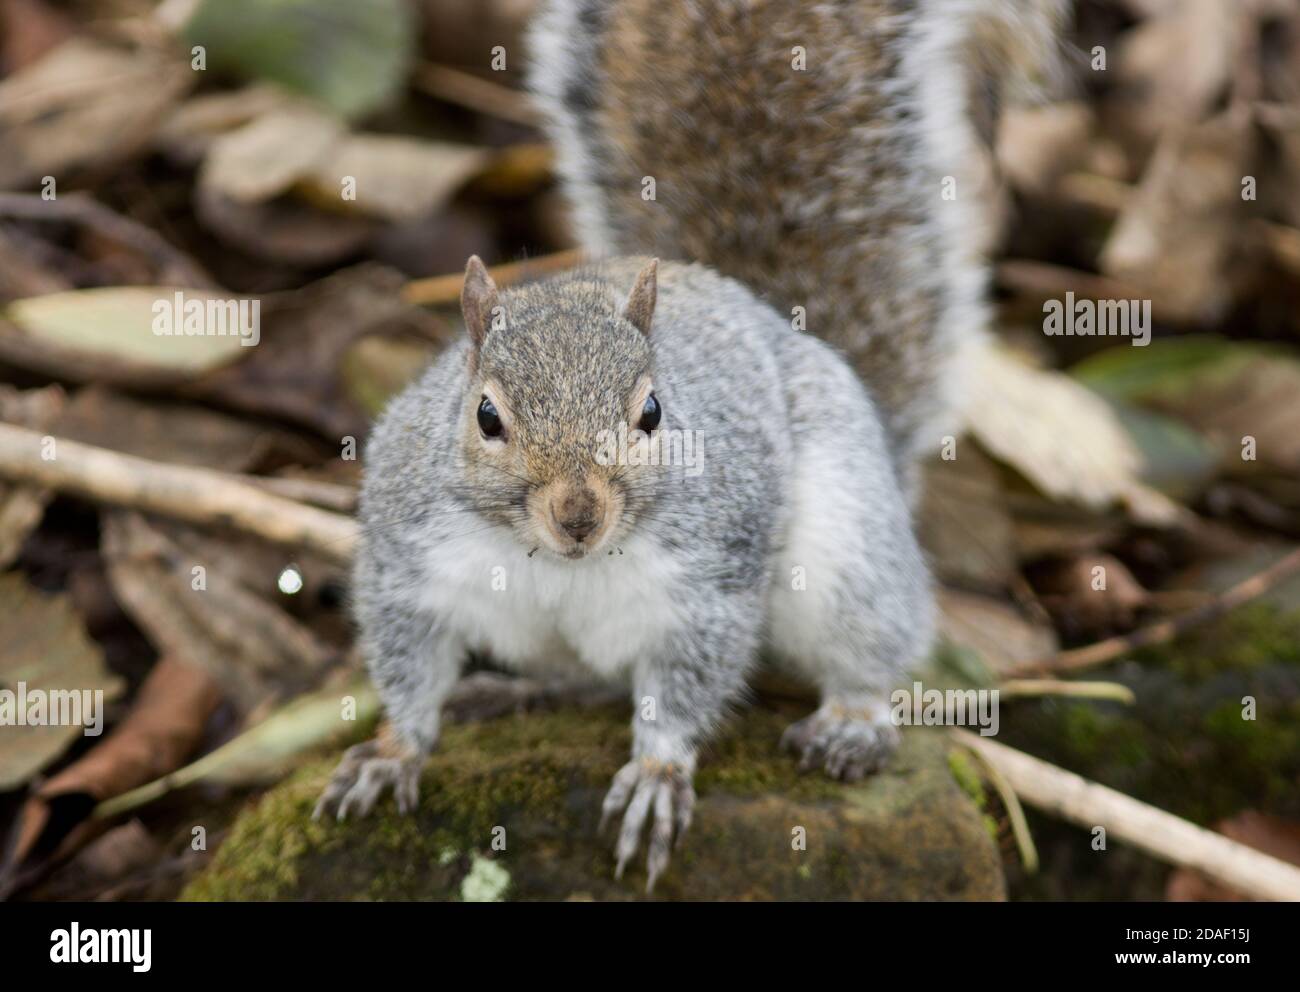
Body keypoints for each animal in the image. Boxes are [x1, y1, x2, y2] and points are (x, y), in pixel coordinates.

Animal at [314, 0, 1066, 892]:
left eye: (652, 411)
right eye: (487, 417)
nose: (578, 516)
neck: (555, 561)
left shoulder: (706, 587)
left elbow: (684, 684)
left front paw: (657, 774)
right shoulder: (411, 565)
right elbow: (409, 666)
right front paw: (393, 752)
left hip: (845, 544)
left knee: (871, 641)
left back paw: (851, 722)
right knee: (580, 682)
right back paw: (510, 693)